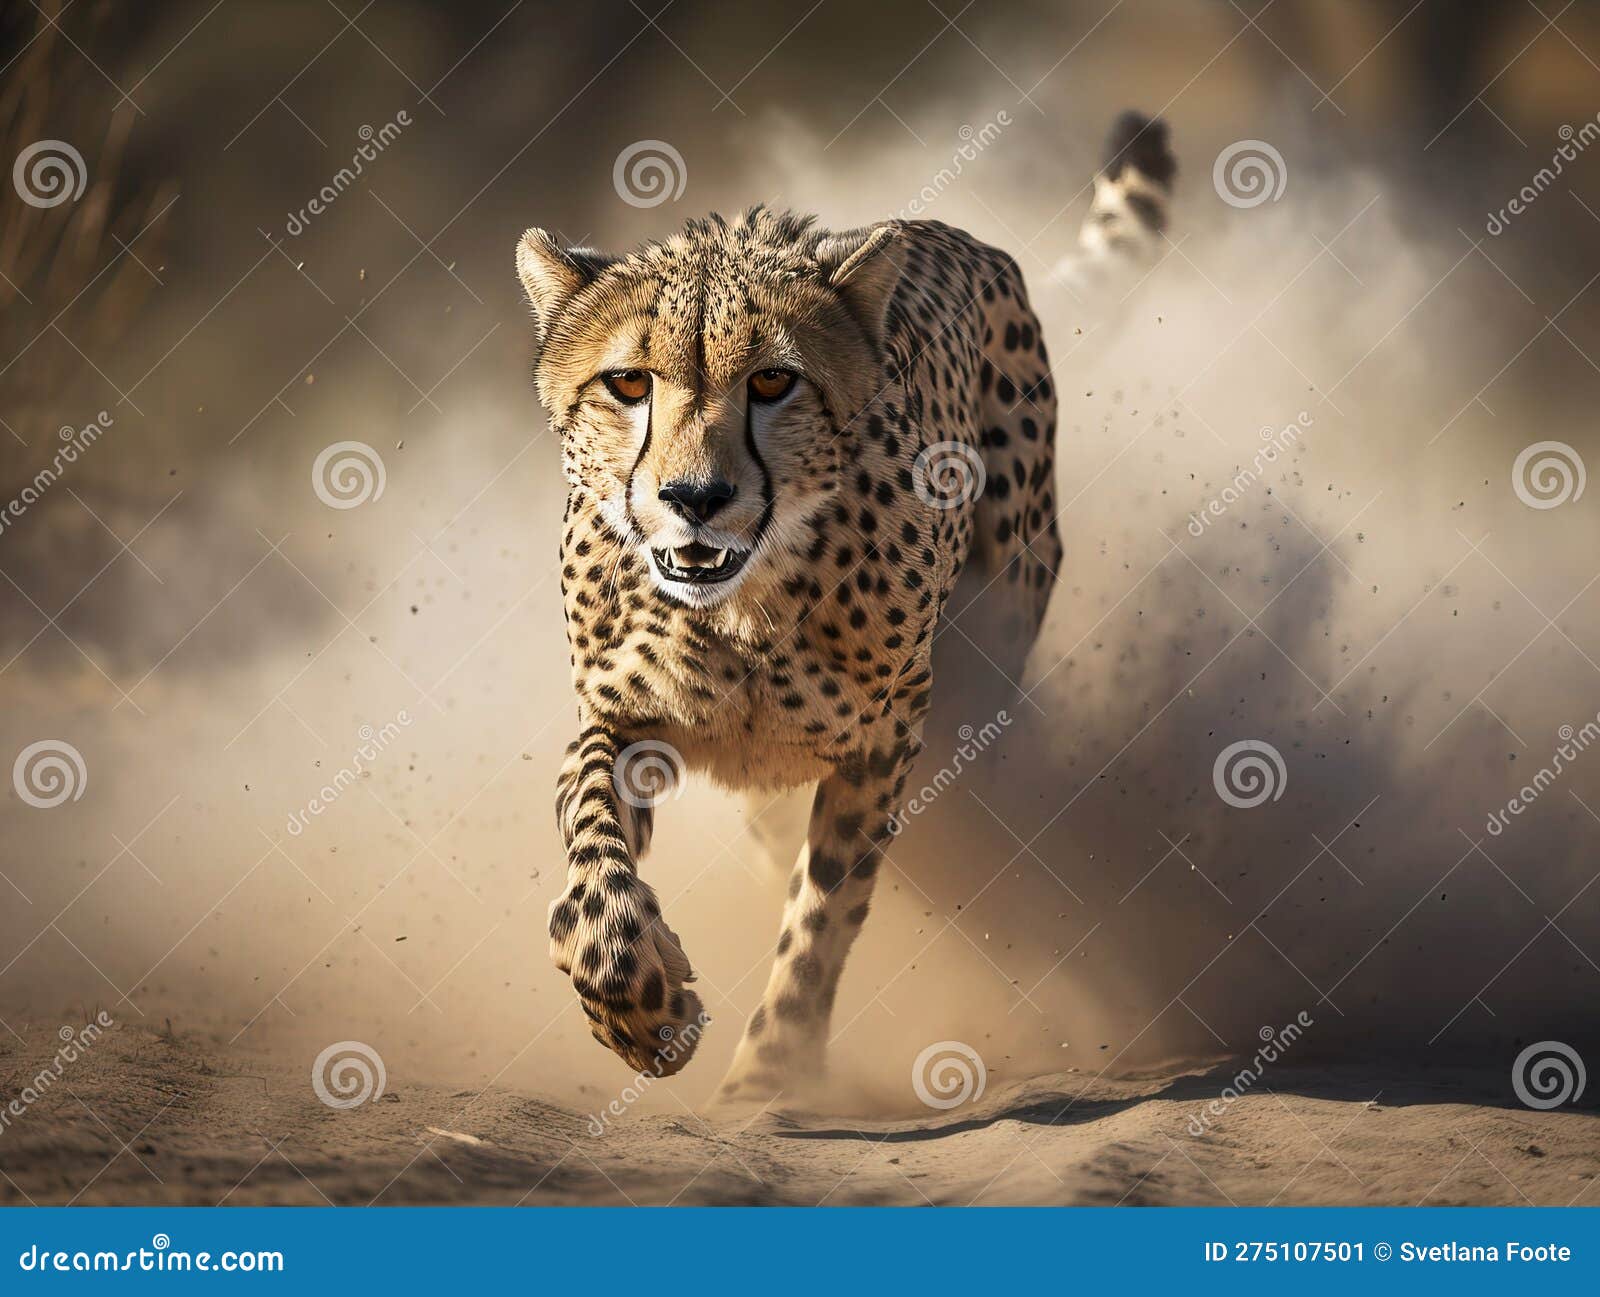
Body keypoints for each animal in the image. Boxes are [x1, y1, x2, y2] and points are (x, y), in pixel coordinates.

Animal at [518, 111, 1176, 1105]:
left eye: (772, 382)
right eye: (628, 383)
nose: (695, 497)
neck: (741, 609)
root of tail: (965, 241)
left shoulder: (884, 741)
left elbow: (825, 910)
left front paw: (770, 1075)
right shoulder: (619, 715)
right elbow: (593, 845)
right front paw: (639, 1003)